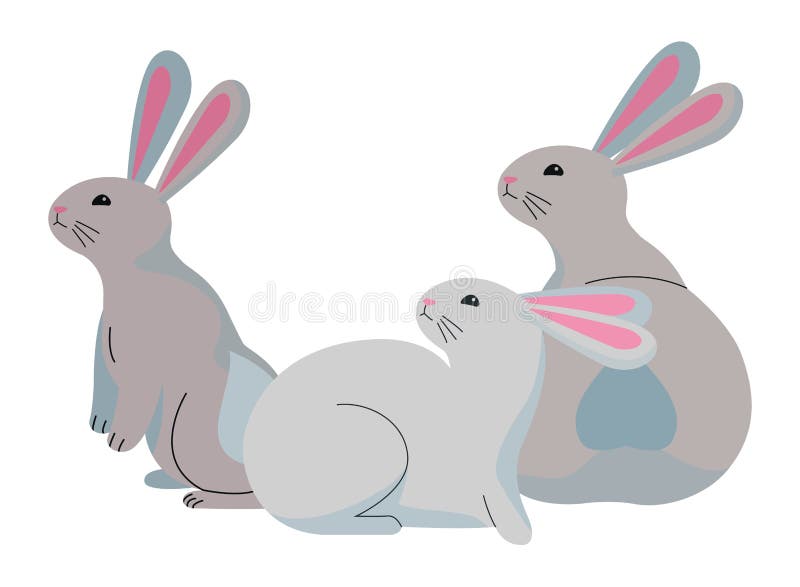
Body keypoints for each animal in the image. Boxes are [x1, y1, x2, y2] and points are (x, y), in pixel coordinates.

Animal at [49, 51, 276, 509]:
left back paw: (201, 500)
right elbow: (103, 386)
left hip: (188, 430)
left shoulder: (146, 372)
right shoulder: (104, 352)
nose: (56, 209)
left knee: (251, 498)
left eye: (103, 199)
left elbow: (134, 402)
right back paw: (162, 481)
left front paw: (117, 442)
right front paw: (97, 423)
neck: (134, 273)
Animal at [243, 278, 655, 544]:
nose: (425, 301)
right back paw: (390, 524)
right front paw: (520, 535)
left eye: (471, 300)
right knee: (317, 524)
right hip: (379, 449)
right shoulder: (487, 478)